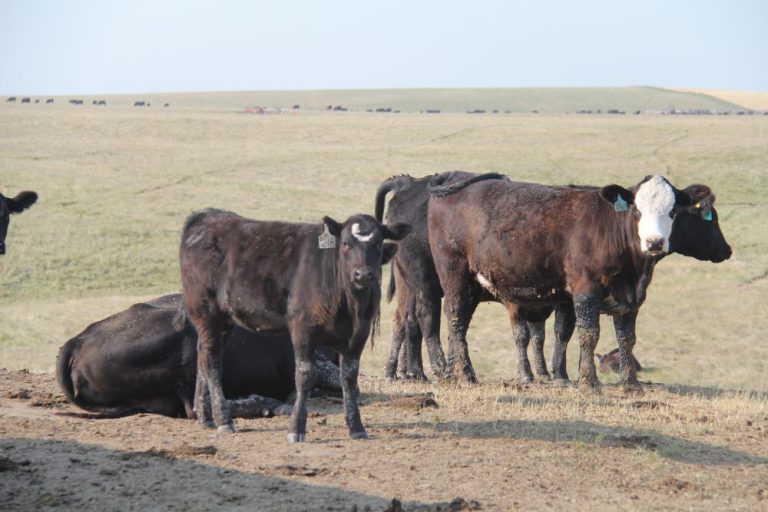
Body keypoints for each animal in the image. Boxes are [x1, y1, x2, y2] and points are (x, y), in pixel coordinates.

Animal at [179, 209, 409, 442]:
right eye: (345, 244)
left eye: (378, 244)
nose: (363, 274)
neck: (350, 305)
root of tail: (206, 216)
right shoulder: (303, 329)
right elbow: (304, 376)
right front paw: (296, 428)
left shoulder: (358, 335)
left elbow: (349, 379)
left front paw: (357, 427)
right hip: (206, 311)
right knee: (213, 361)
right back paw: (223, 419)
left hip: (223, 321)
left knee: (204, 355)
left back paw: (205, 416)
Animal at [427, 172, 714, 392]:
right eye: (637, 210)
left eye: (673, 210)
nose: (654, 242)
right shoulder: (585, 289)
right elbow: (589, 334)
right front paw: (589, 382)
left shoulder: (630, 298)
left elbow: (627, 338)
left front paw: (631, 383)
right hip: (454, 276)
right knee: (455, 319)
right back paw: (465, 375)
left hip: (472, 287)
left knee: (460, 323)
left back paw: (455, 374)